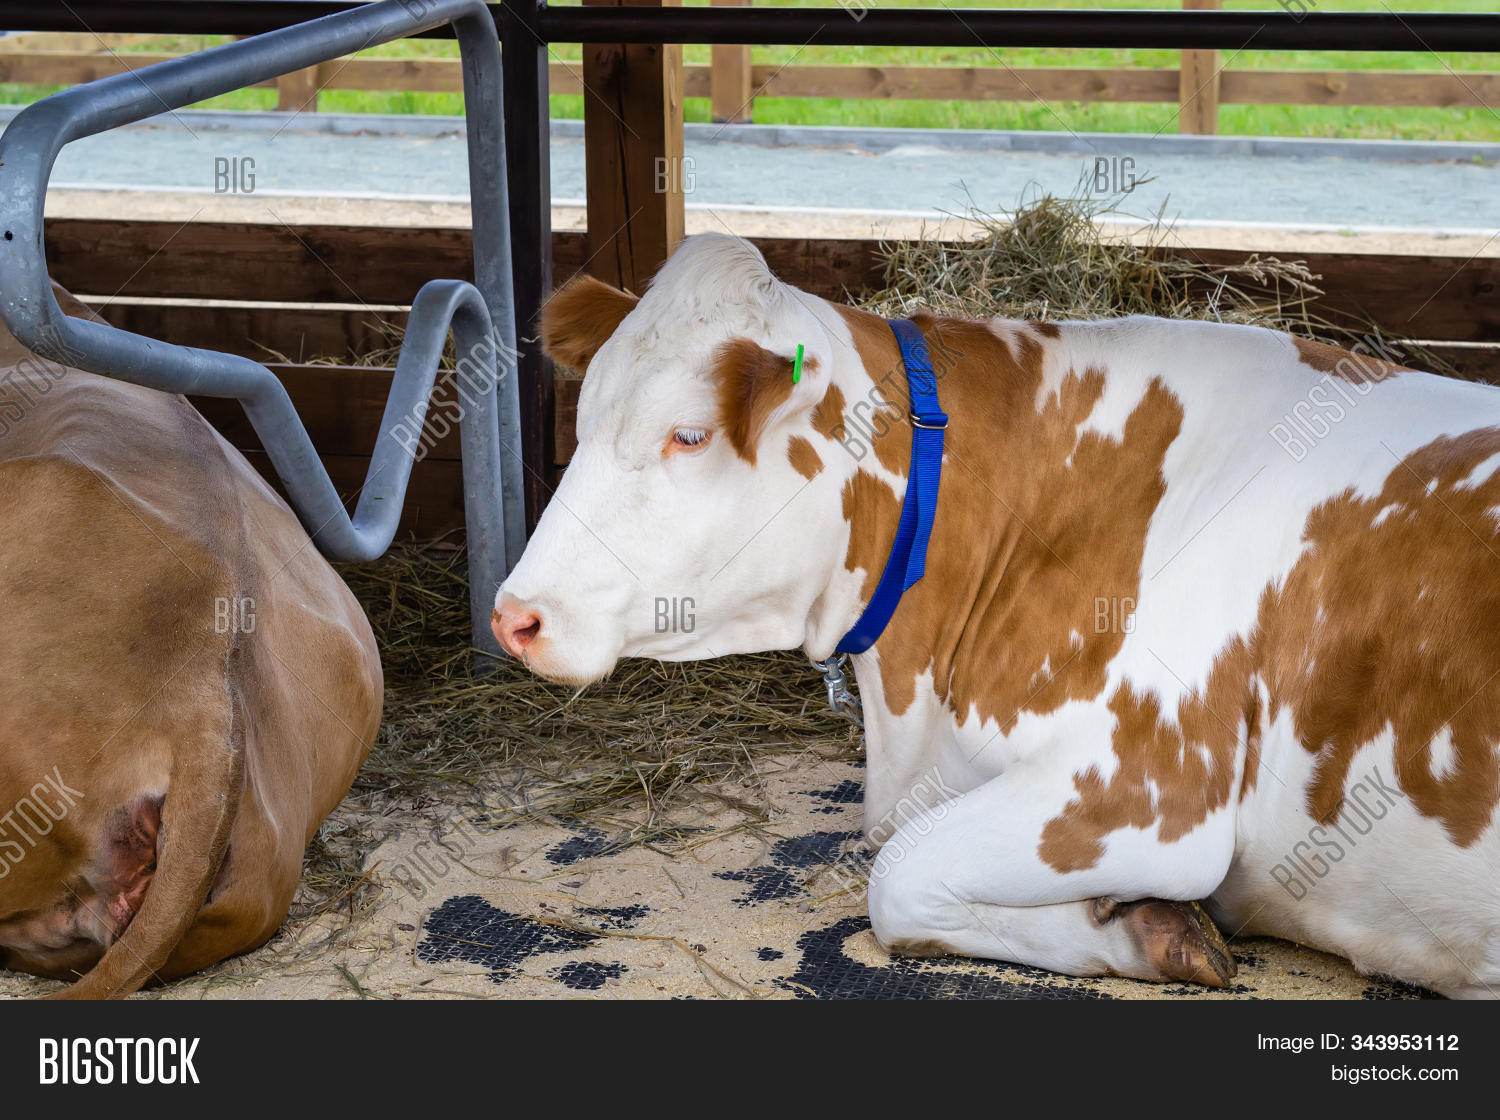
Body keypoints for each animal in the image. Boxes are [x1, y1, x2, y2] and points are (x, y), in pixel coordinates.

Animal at [493, 232, 1500, 998]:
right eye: (583, 418)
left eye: (689, 435)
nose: (515, 617)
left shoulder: (1149, 792)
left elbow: (897, 881)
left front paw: (1157, 930)